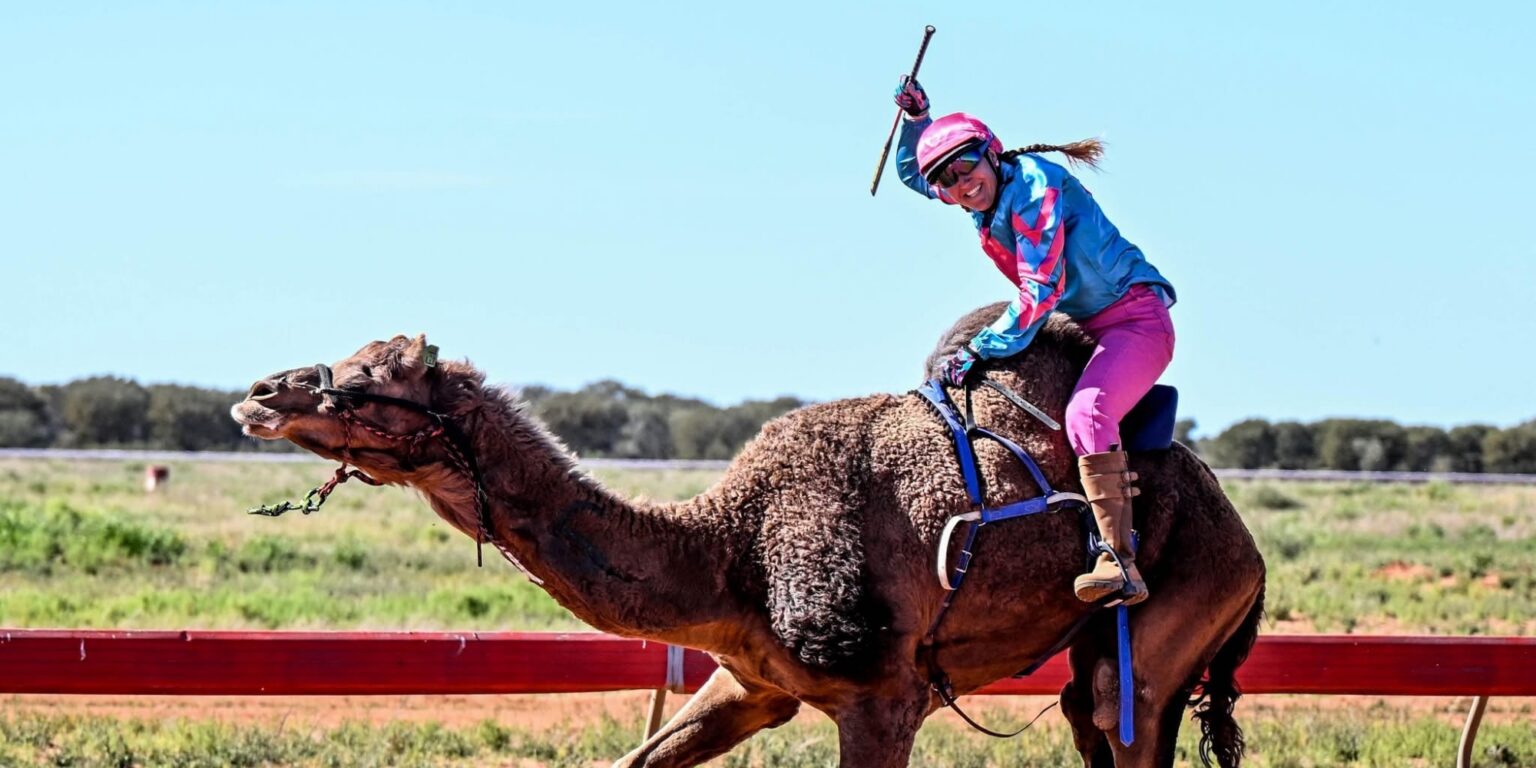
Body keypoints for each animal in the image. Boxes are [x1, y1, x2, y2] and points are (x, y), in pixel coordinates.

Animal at [230, 306, 1265, 768]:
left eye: (373, 376)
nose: (261, 392)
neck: (731, 551)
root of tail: (1245, 540)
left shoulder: (883, 698)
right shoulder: (750, 680)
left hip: (1174, 614)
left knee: (1124, 707)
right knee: (1097, 717)